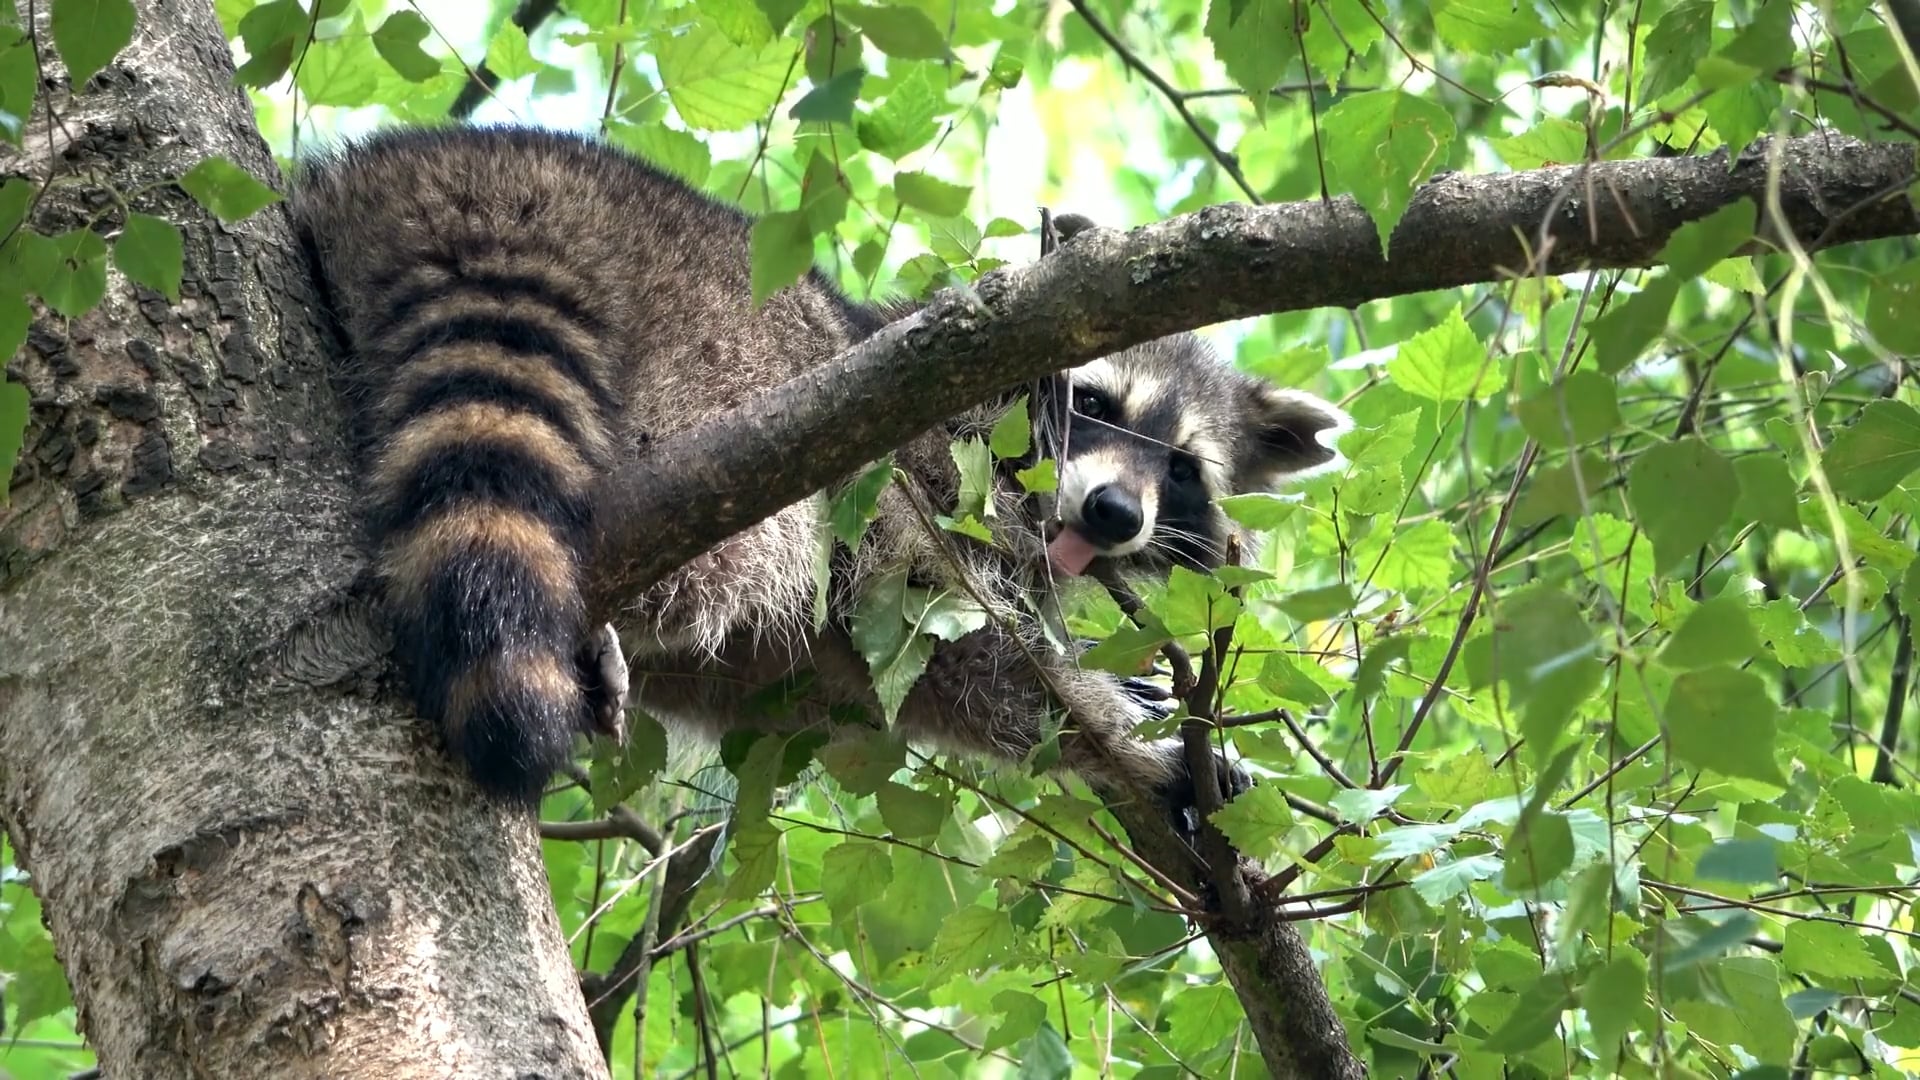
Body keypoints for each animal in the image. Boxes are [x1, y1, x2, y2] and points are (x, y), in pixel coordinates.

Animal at [290, 124, 1348, 814]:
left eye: (1185, 470)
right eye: (1095, 404)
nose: (1115, 512)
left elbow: (892, 688)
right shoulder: (929, 480)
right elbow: (968, 643)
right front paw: (1133, 745)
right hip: (720, 349)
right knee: (735, 546)